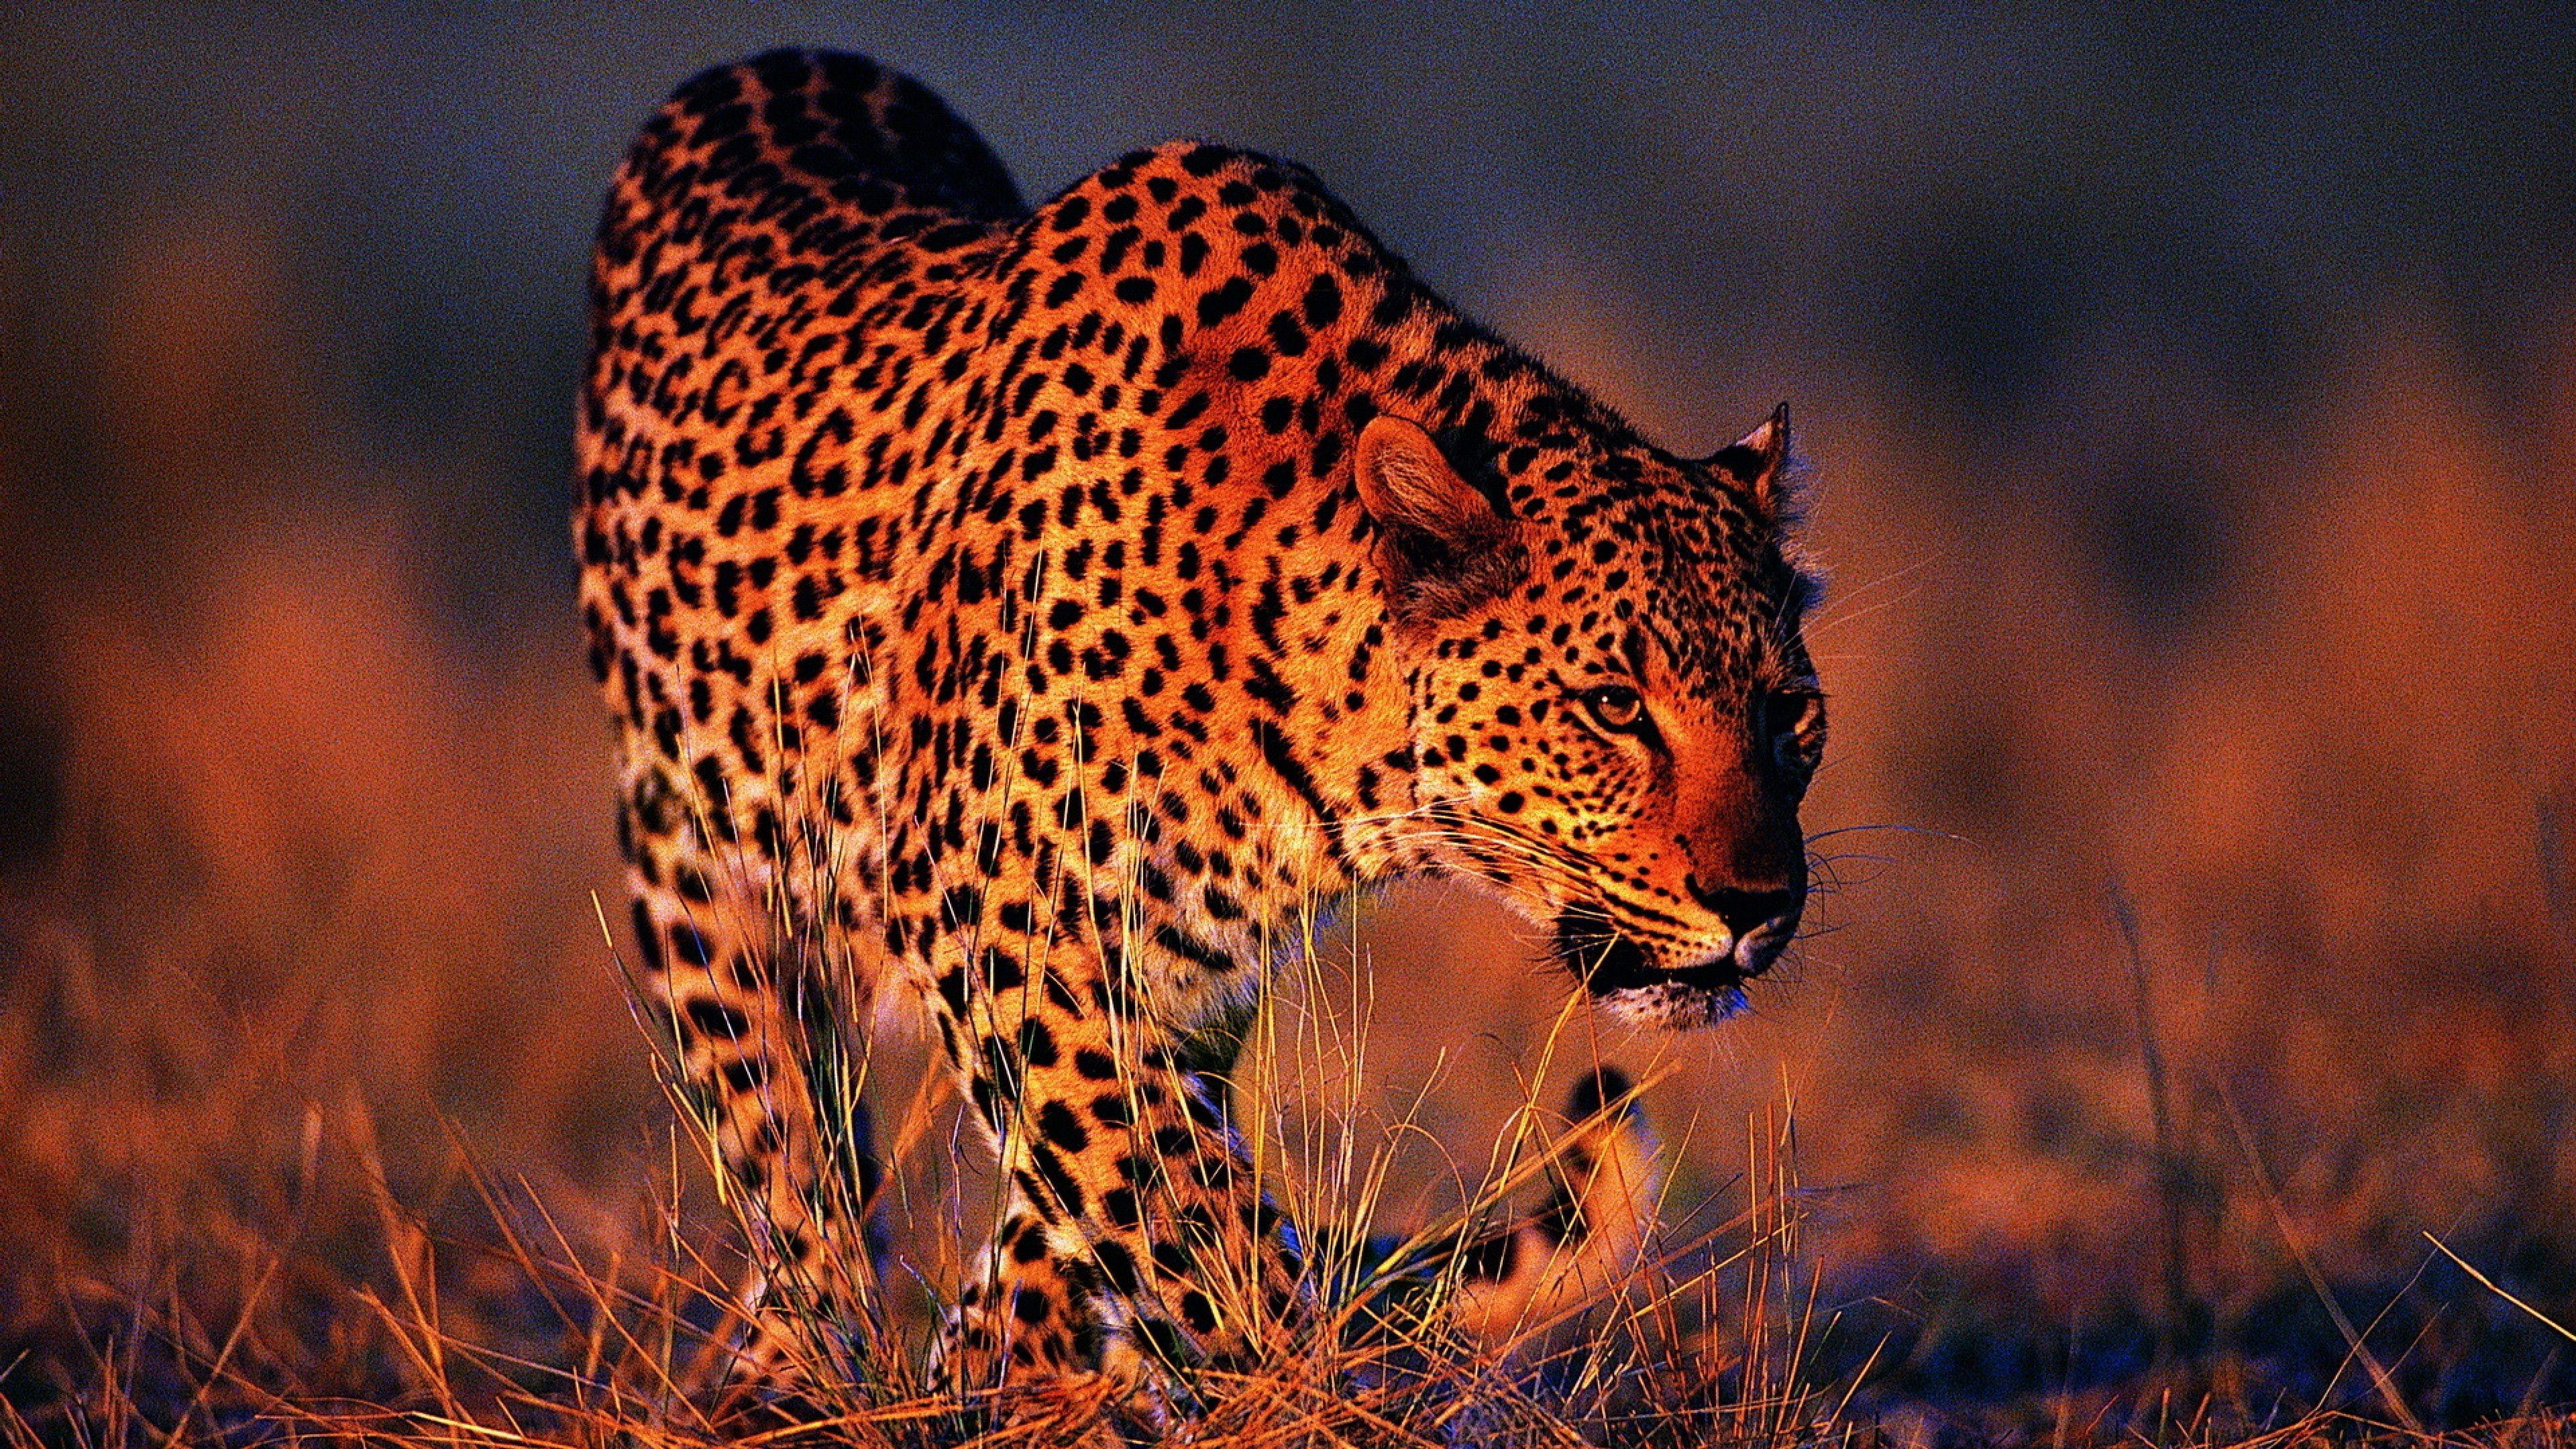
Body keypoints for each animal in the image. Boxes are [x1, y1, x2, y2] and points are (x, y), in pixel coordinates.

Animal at [574, 48, 1827, 1417]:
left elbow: (1106, 1194)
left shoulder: (1184, 981)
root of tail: (780, 57)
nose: (1761, 906)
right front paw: (1307, 1394)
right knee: (789, 1147)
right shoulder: (1003, 923)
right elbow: (1188, 1214)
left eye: (1792, 715)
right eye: (1615, 708)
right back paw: (793, 1372)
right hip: (695, 872)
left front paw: (1020, 1376)